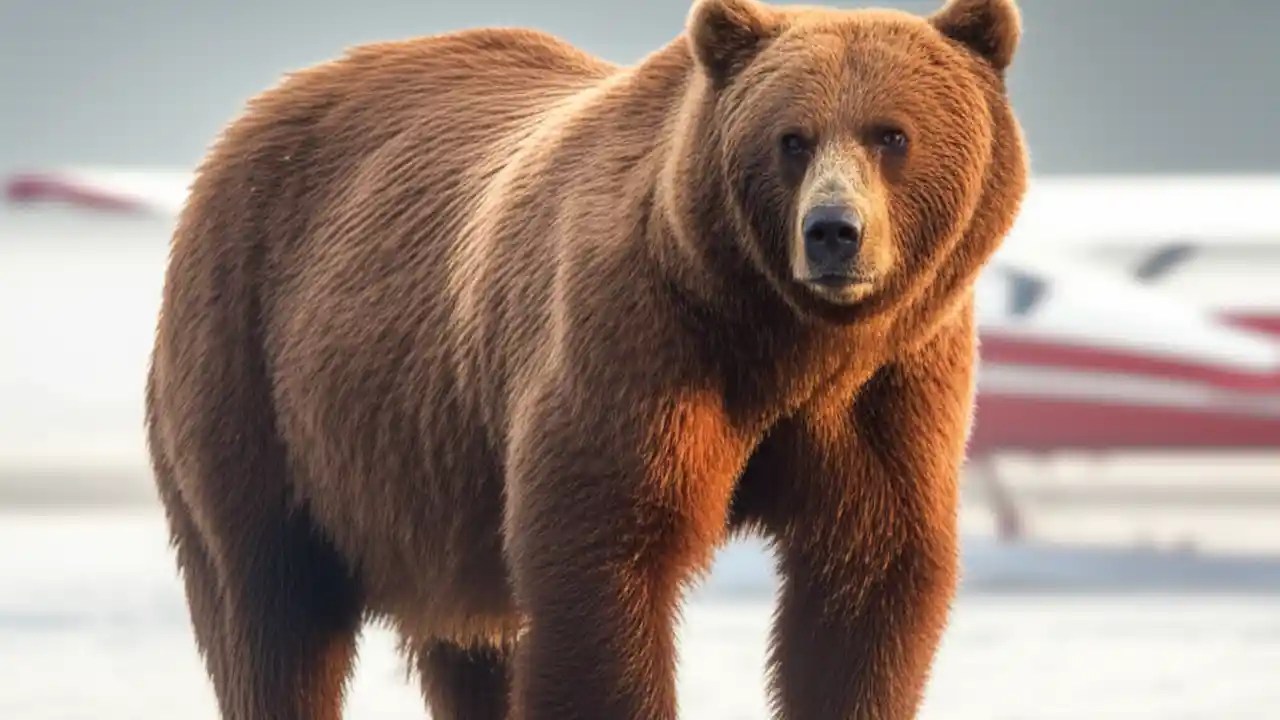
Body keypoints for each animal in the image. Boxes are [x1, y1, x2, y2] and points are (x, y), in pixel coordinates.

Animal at [144, 0, 1027, 718]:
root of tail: (251, 119)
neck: (785, 340)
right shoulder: (640, 344)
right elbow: (602, 561)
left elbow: (868, 582)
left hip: (437, 483)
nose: (833, 232)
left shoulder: (892, 384)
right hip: (251, 367)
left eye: (892, 135)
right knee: (268, 603)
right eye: (792, 139)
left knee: (468, 644)